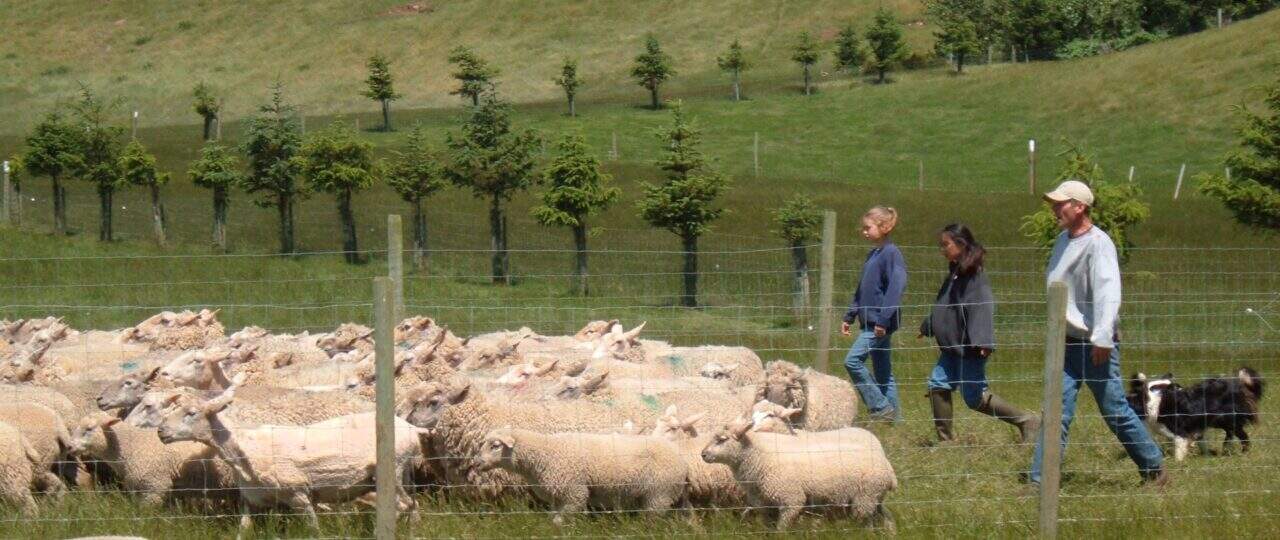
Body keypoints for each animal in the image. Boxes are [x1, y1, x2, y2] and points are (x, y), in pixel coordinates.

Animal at [154, 380, 426, 533]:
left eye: (191, 413)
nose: (160, 431)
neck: (244, 444)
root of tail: (411, 428)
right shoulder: (253, 499)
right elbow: (243, 530)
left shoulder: (298, 494)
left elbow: (313, 530)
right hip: (401, 473)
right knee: (413, 506)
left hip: (390, 472)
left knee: (403, 506)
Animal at [475, 427, 688, 525]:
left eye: (495, 445)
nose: (476, 463)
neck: (544, 453)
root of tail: (680, 457)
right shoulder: (558, 497)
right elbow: (555, 520)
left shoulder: (574, 492)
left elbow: (559, 521)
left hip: (659, 493)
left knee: (652, 519)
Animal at [699, 417, 896, 530]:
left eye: (722, 439)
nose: (703, 454)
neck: (759, 456)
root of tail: (887, 466)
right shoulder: (765, 504)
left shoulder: (791, 499)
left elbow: (782, 529)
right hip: (874, 497)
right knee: (886, 517)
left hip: (865, 497)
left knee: (867, 523)